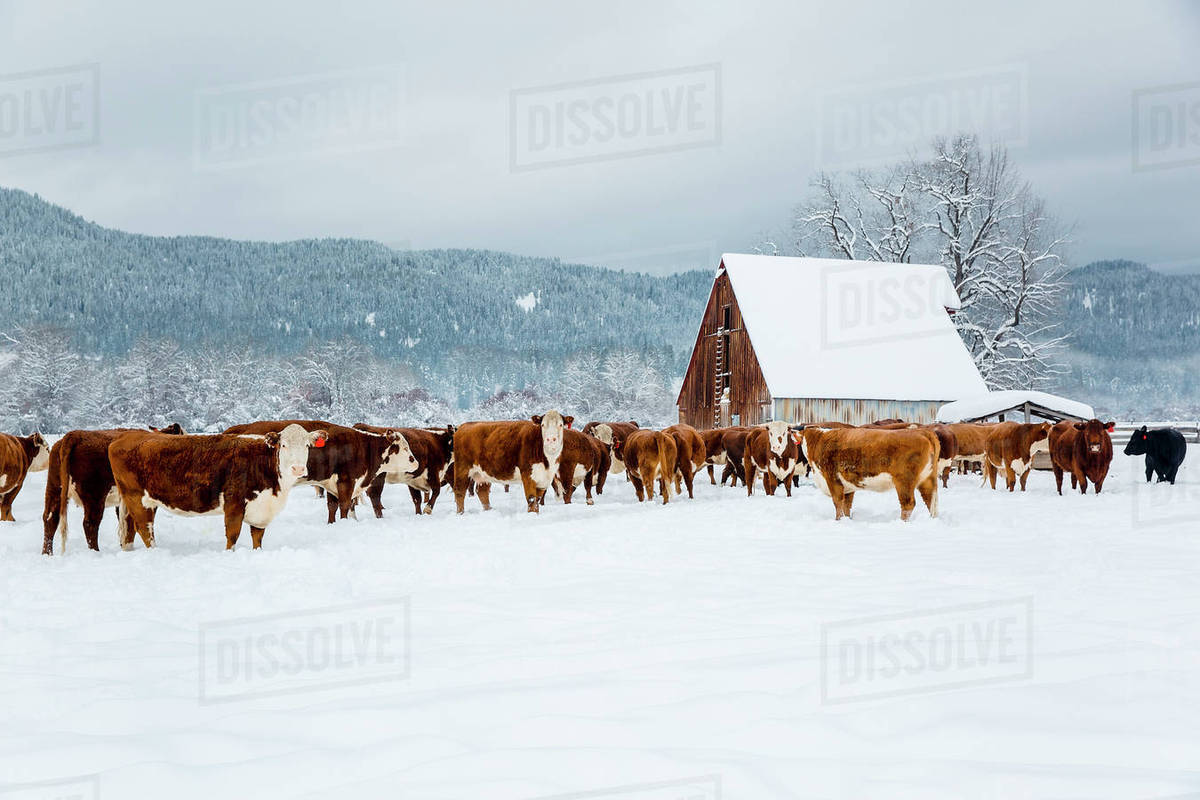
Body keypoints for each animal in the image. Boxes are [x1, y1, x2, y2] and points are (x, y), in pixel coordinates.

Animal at [108, 424, 328, 550]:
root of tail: (126, 437)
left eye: (307, 446)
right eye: (283, 445)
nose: (298, 468)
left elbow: (257, 537)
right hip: (137, 497)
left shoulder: (260, 510)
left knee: (130, 529)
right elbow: (233, 535)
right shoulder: (234, 504)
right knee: (144, 528)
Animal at [224, 420, 417, 523]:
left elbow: (332, 506)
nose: (416, 463)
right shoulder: (346, 481)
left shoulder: (330, 483)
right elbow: (345, 505)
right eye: (405, 448)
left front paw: (332, 524)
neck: (364, 447)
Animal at [801, 427, 940, 521]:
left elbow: (838, 503)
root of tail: (923, 431)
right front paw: (847, 519)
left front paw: (838, 521)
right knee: (931, 500)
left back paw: (902, 522)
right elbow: (847, 505)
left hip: (904, 481)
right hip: (928, 479)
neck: (819, 441)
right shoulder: (848, 486)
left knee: (908, 504)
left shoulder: (832, 479)